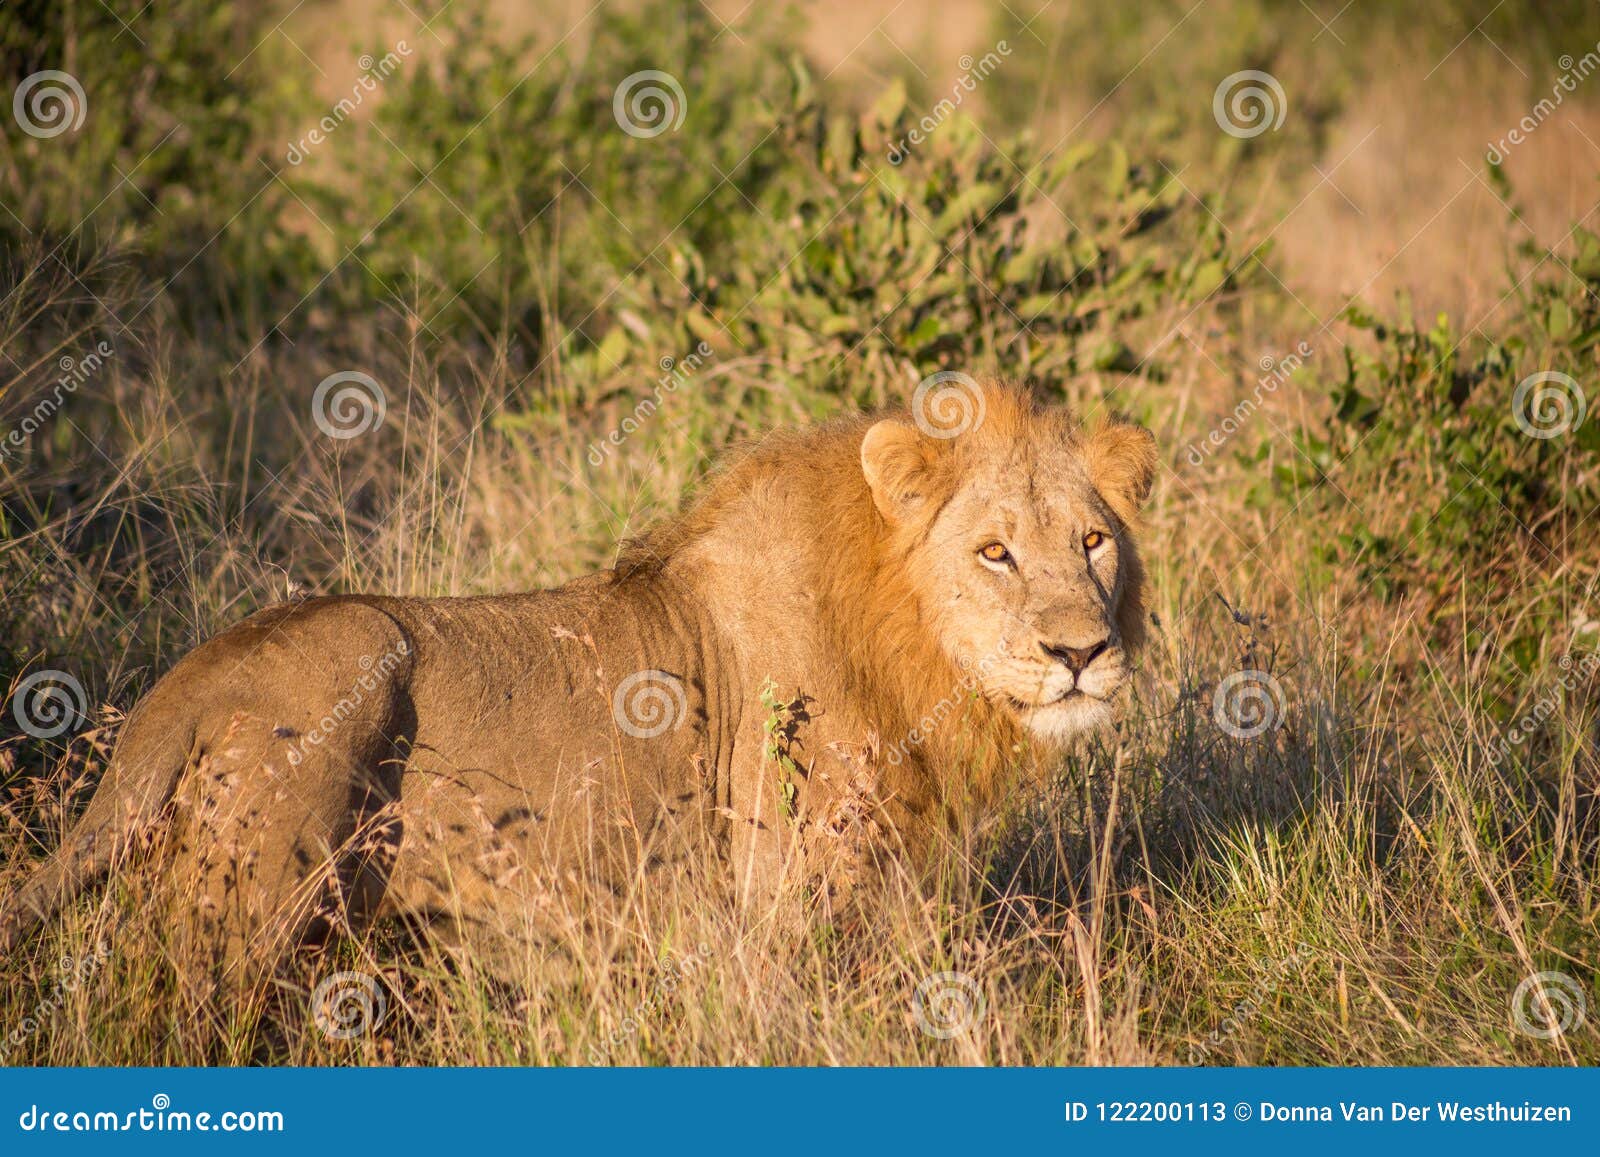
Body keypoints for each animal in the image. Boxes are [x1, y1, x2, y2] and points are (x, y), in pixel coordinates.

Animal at [0, 378, 1156, 997]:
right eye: (995, 552)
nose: (1080, 650)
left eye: (1093, 541)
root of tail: (176, 692)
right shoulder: (784, 902)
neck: (907, 645)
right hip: (277, 850)